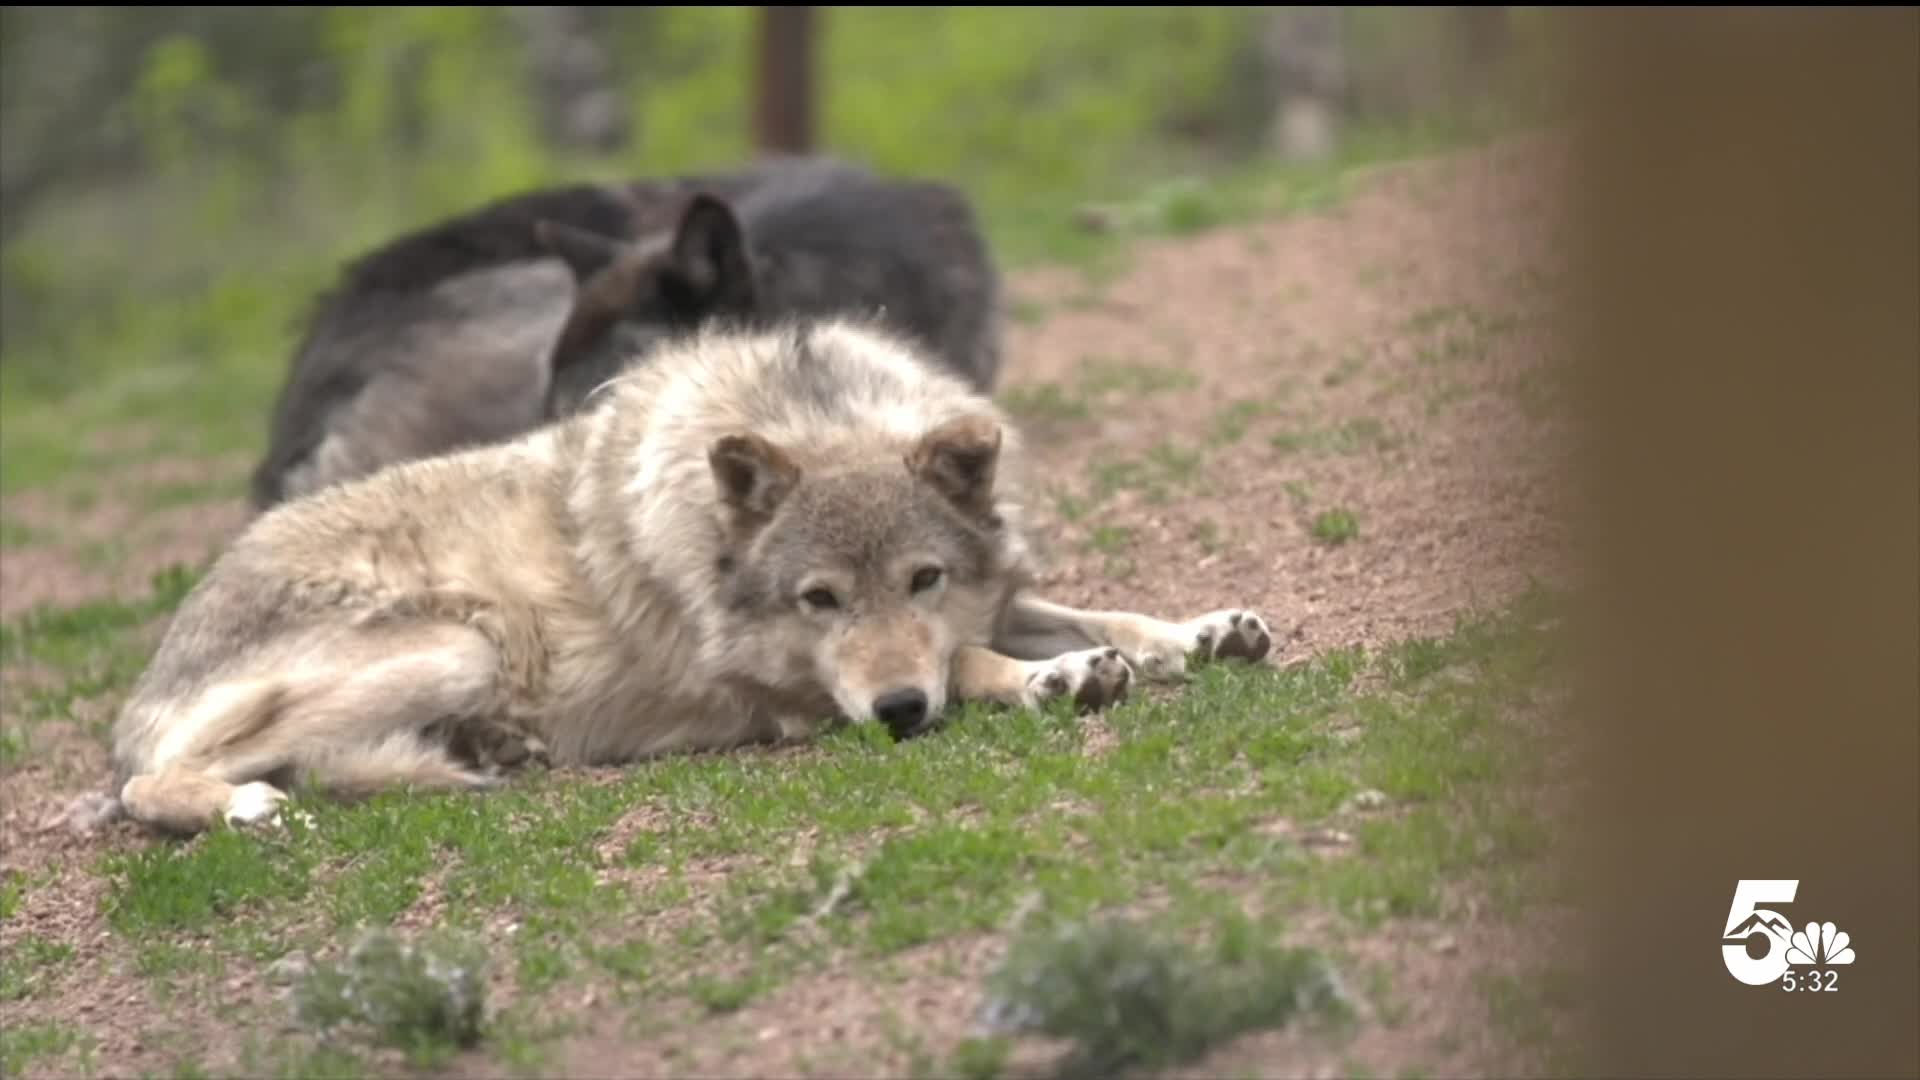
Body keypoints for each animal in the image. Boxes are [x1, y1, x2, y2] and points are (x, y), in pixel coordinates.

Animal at [98, 318, 1273, 836]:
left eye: (924, 579)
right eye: (818, 601)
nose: (899, 710)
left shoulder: (987, 598)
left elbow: (1091, 607)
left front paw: (1202, 632)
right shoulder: (801, 698)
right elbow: (984, 662)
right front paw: (1058, 679)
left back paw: (493, 749)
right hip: (458, 641)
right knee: (146, 783)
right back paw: (240, 804)